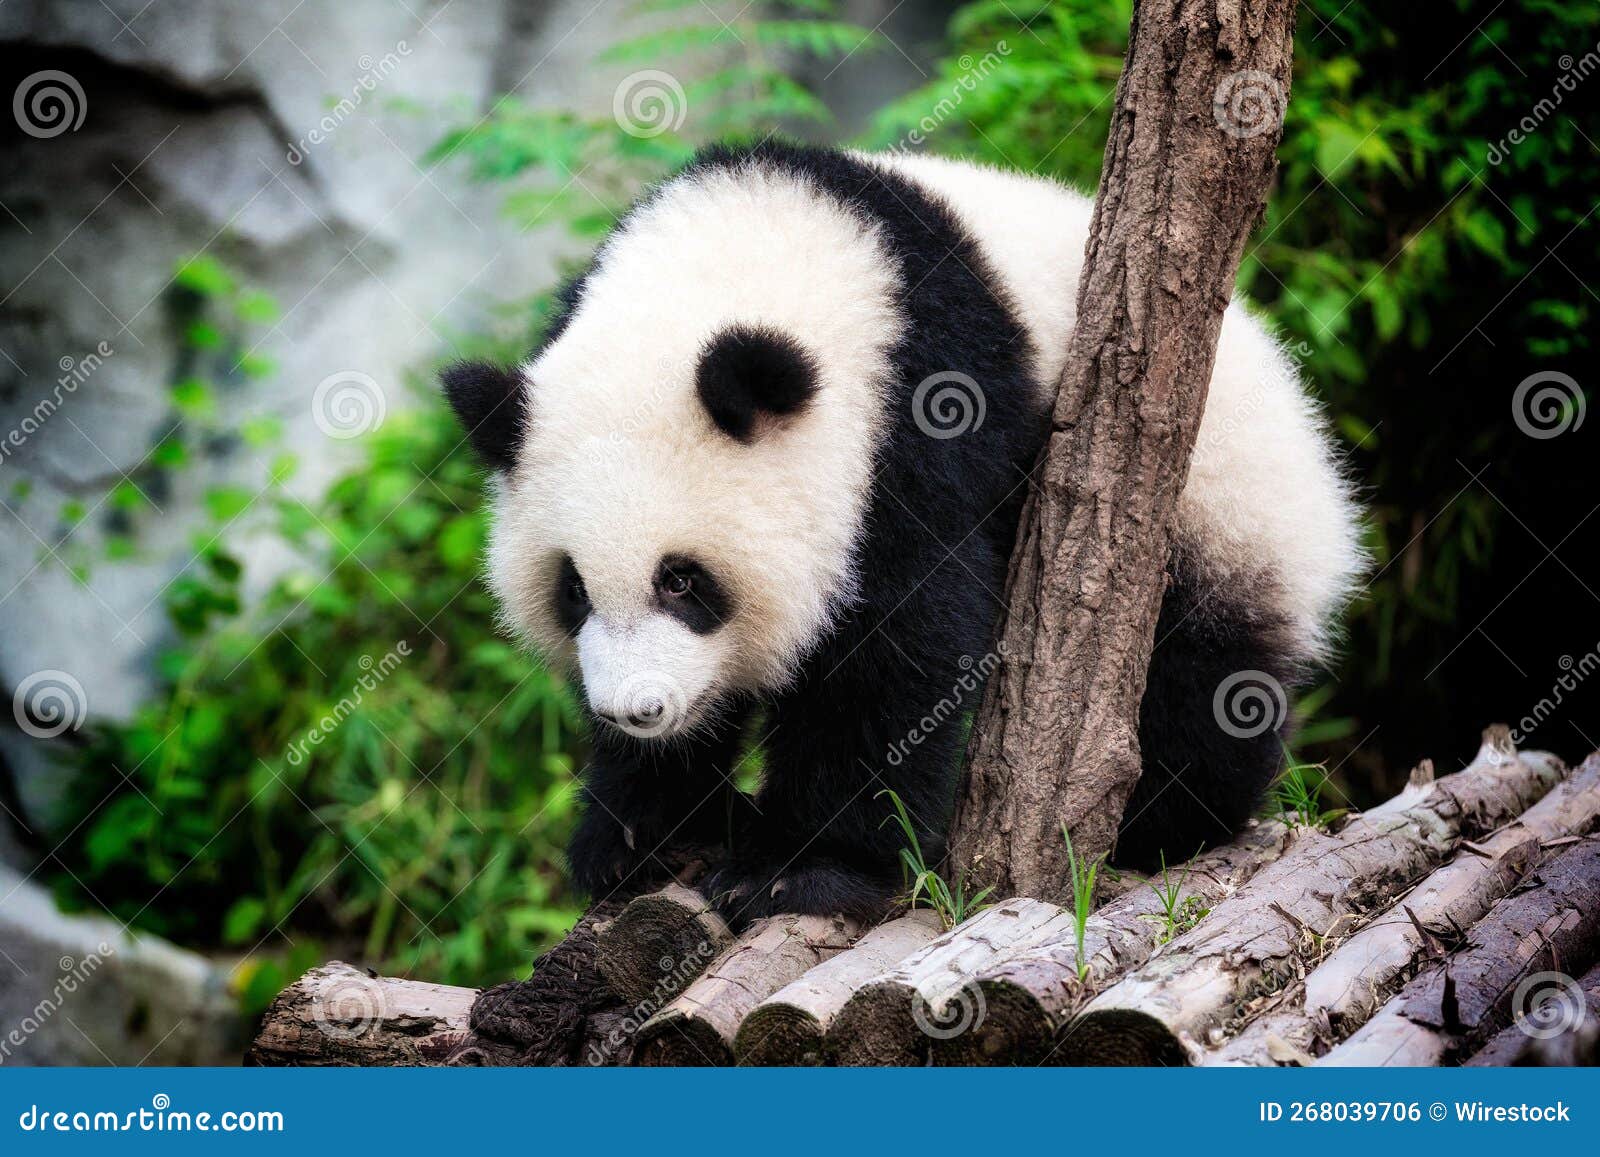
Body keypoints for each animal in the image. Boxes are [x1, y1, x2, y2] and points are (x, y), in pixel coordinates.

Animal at [441, 140, 1364, 926]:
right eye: (572, 589)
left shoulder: (925, 412)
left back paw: (1169, 820)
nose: (637, 710)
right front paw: (645, 835)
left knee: (1205, 673)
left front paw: (793, 868)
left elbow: (897, 648)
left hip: (1226, 502)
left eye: (683, 578)